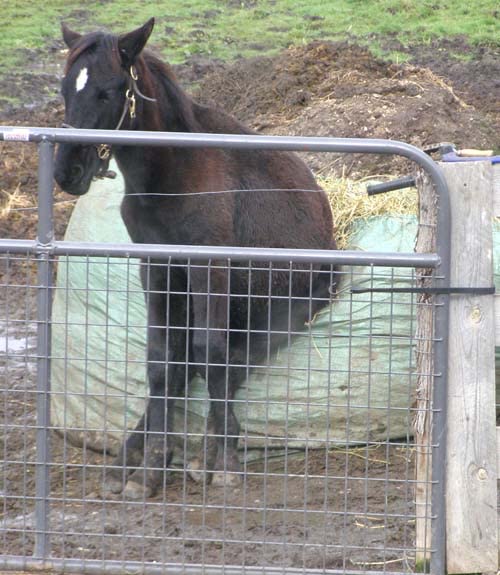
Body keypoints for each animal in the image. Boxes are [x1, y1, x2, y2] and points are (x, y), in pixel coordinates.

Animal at [54, 19, 336, 500]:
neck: (170, 175)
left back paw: (210, 450)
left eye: (109, 92)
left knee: (228, 363)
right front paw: (146, 469)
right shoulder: (158, 268)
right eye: (64, 89)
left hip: (282, 316)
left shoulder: (209, 268)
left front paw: (223, 464)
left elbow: (210, 354)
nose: (66, 172)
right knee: (192, 365)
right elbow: (161, 362)